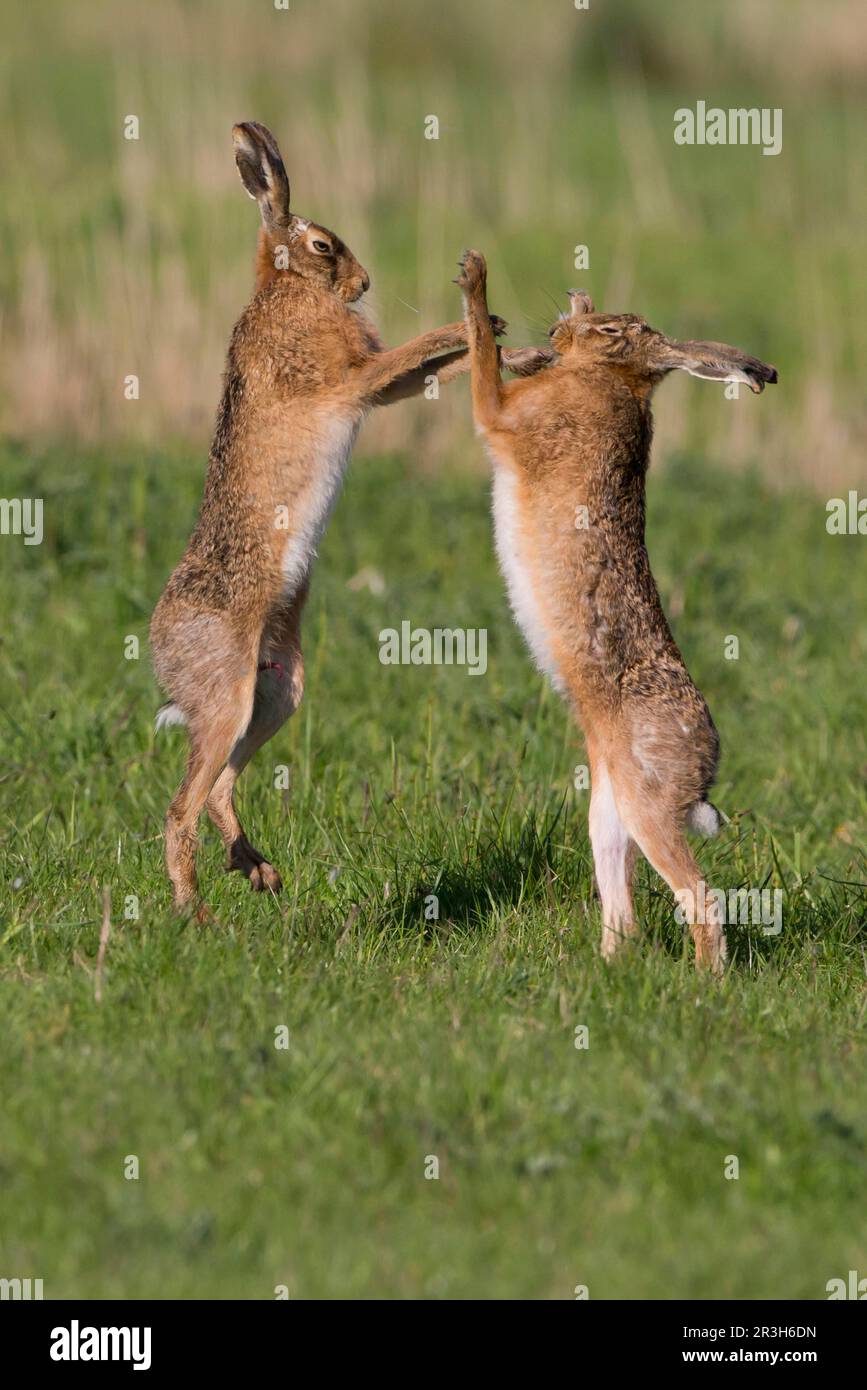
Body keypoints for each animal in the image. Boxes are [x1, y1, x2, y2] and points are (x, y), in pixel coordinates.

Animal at [150, 124, 550, 912]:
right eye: (322, 246)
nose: (362, 284)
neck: (289, 290)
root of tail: (156, 642)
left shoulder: (375, 385)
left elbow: (432, 374)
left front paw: (519, 351)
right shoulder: (349, 378)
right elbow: (415, 355)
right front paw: (483, 322)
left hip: (277, 692)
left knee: (219, 790)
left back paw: (257, 869)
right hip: (227, 695)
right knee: (182, 807)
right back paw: (193, 914)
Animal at [453, 249, 777, 973]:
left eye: (609, 332)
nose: (556, 330)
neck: (614, 380)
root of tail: (705, 766)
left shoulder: (506, 418)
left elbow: (484, 370)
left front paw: (474, 278)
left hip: (647, 804)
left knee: (702, 899)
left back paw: (703, 985)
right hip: (610, 807)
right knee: (623, 908)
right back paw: (604, 968)